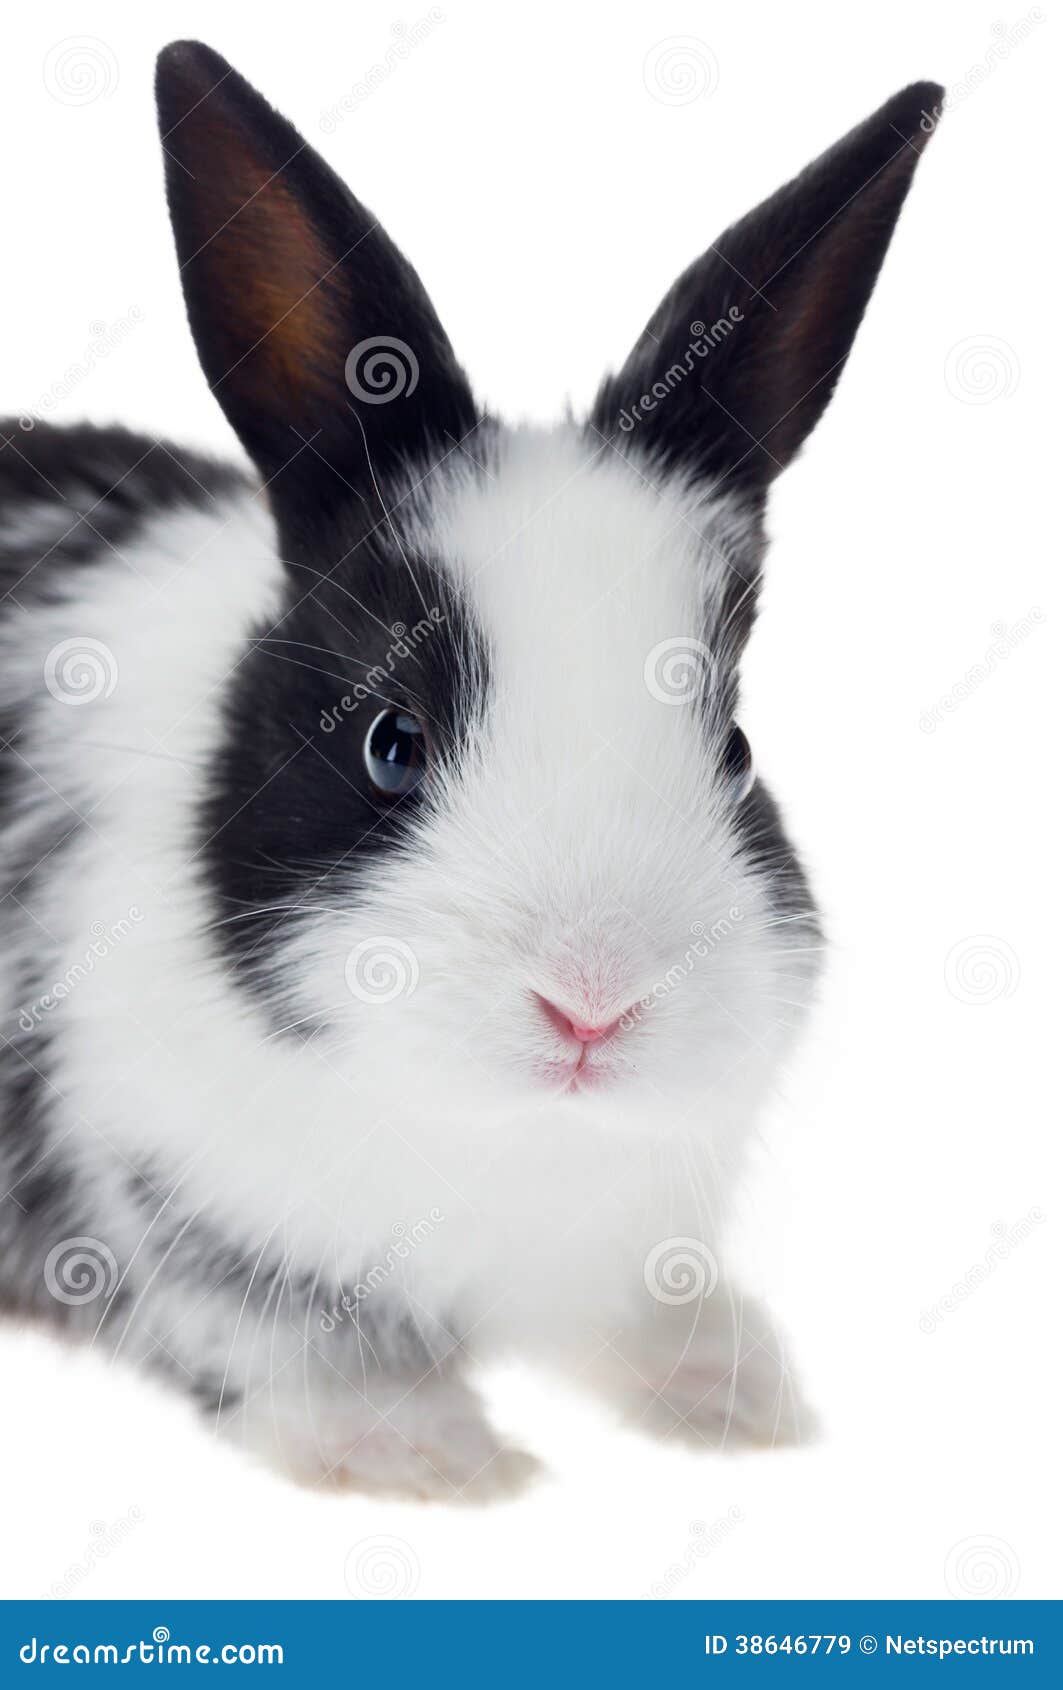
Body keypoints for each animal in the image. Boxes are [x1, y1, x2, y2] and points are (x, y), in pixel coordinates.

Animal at [0, 42, 943, 1501]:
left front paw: (735, 1398)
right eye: (390, 740)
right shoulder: (144, 1195)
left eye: (732, 744)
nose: (592, 1005)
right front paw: (429, 1454)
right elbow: (269, 1331)